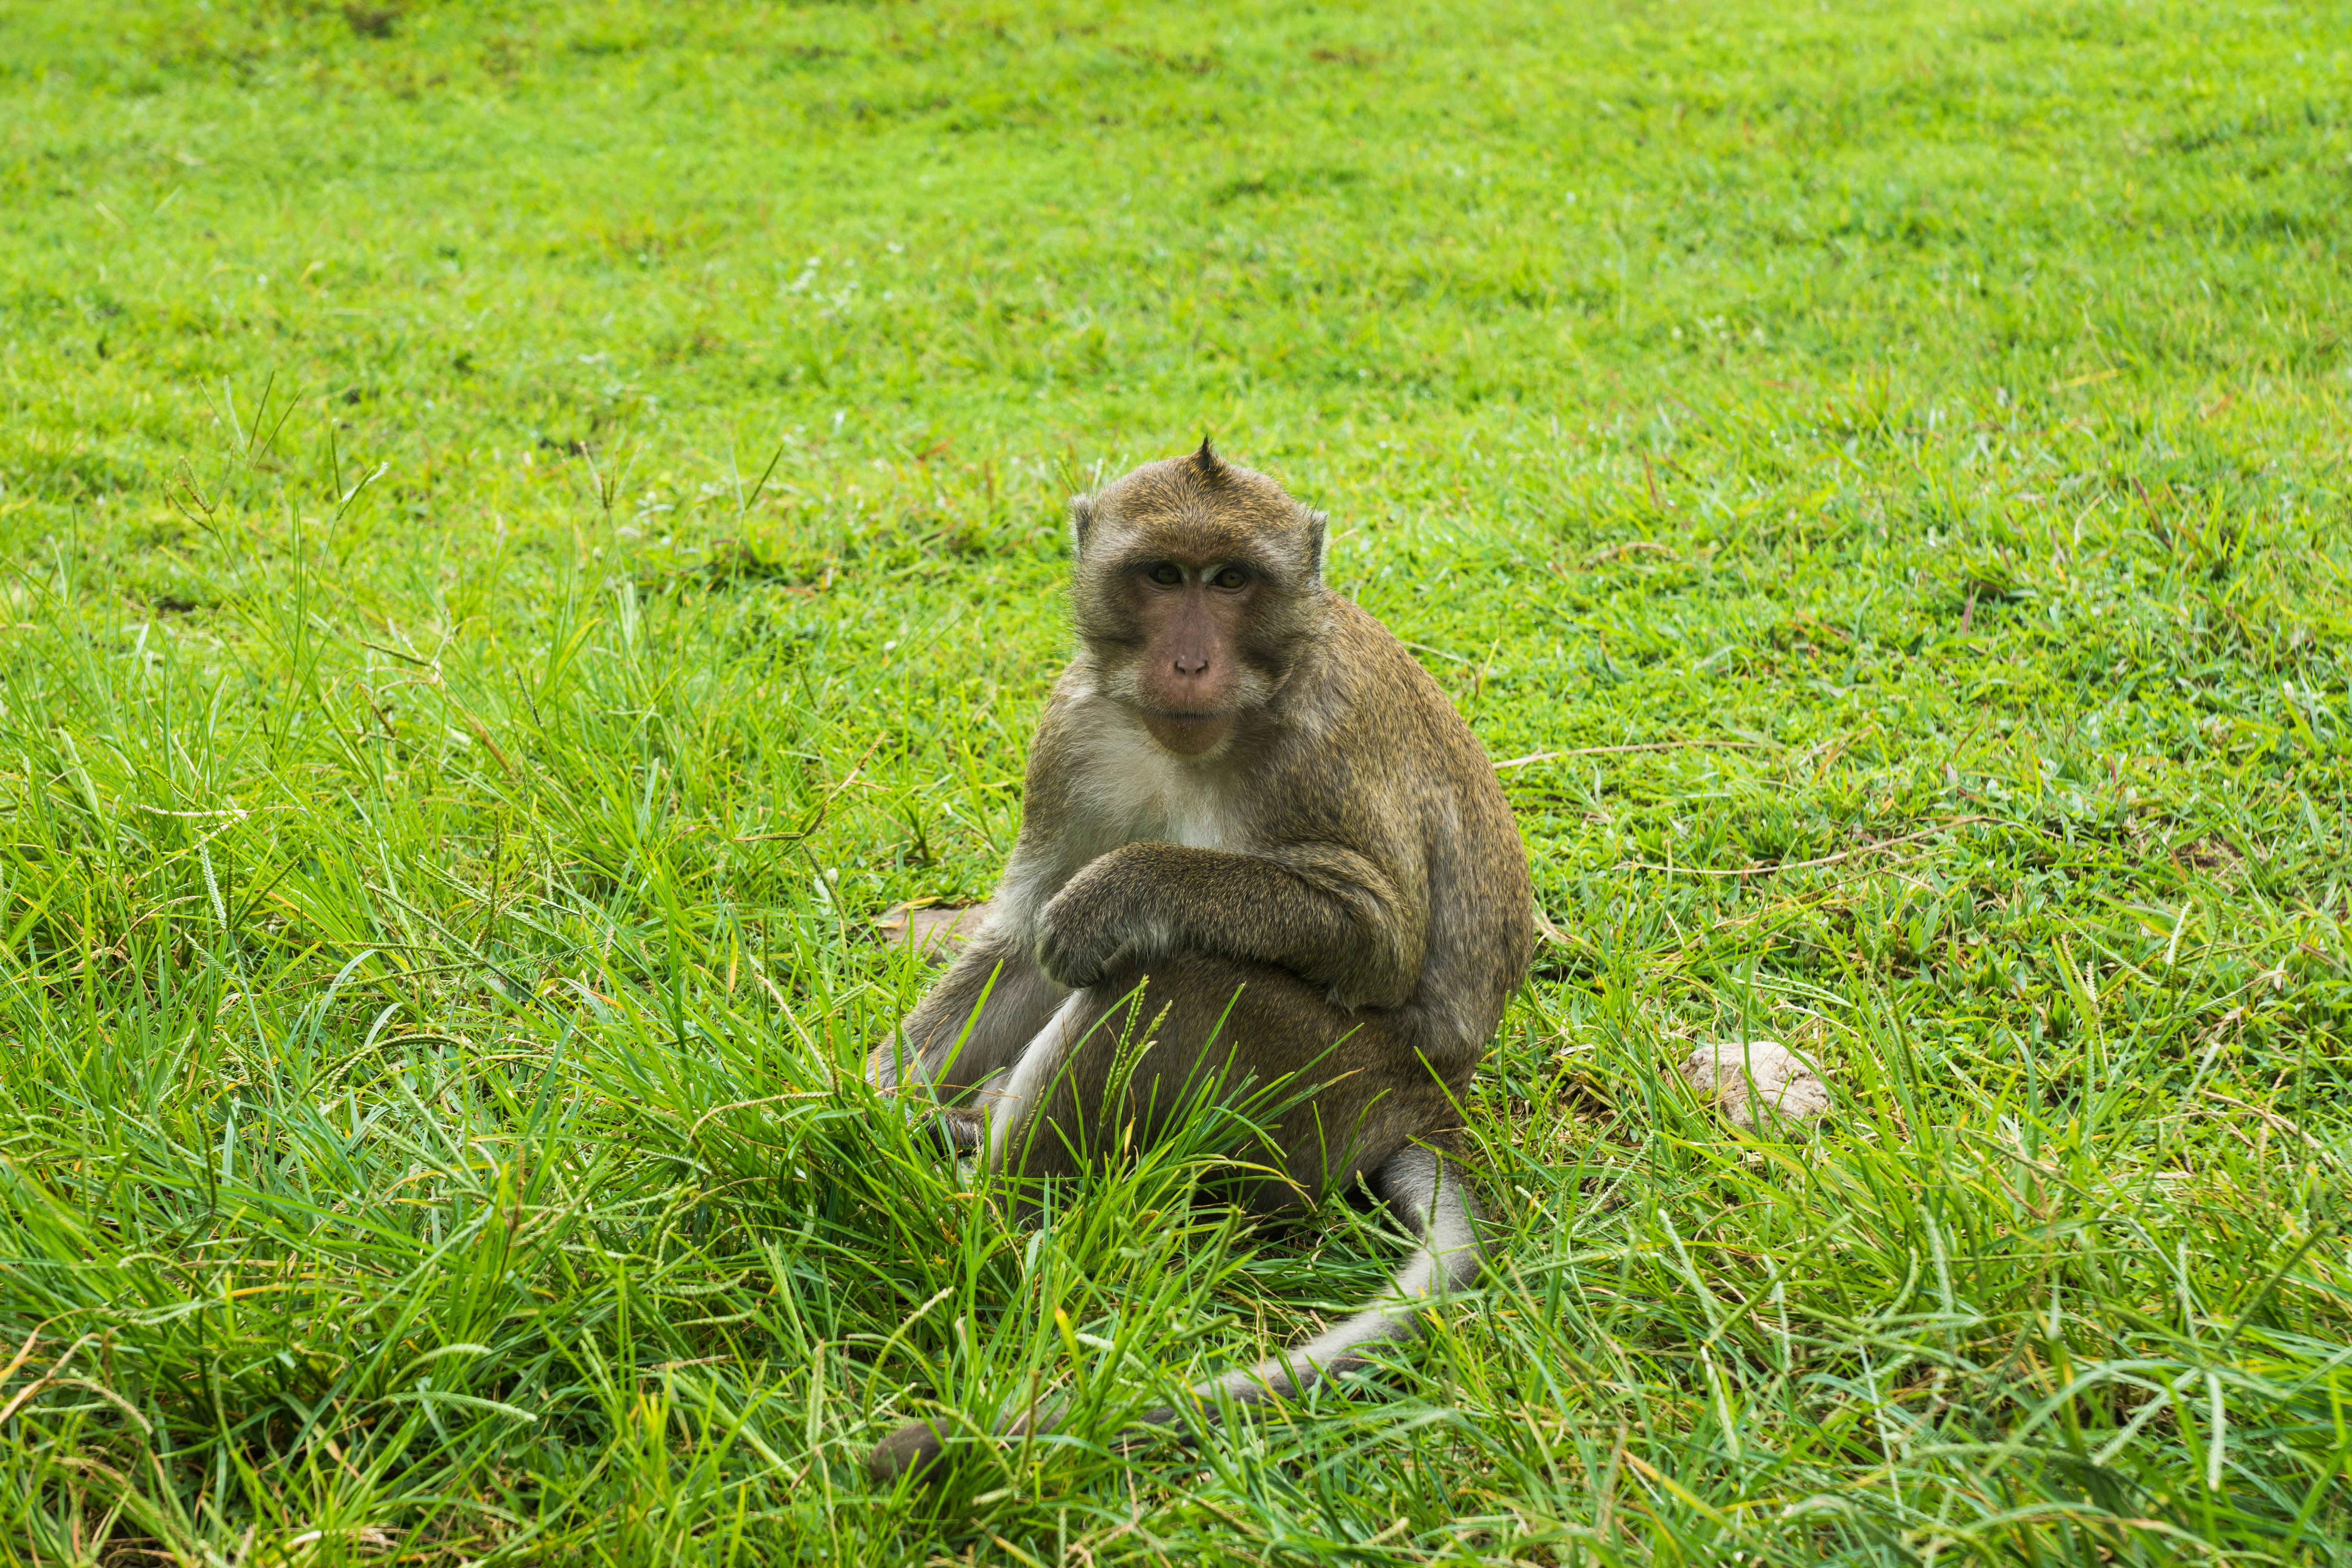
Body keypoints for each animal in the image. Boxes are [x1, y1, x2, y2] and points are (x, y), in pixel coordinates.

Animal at [864, 439, 1534, 1483]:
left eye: (1230, 581)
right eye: (1162, 576)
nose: (1188, 660)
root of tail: (1425, 1106)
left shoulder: (1322, 749)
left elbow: (1380, 938)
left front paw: (1119, 892)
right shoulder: (1073, 733)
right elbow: (1020, 943)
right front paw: (875, 1100)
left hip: (1315, 1092)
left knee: (1179, 977)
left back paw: (990, 1214)